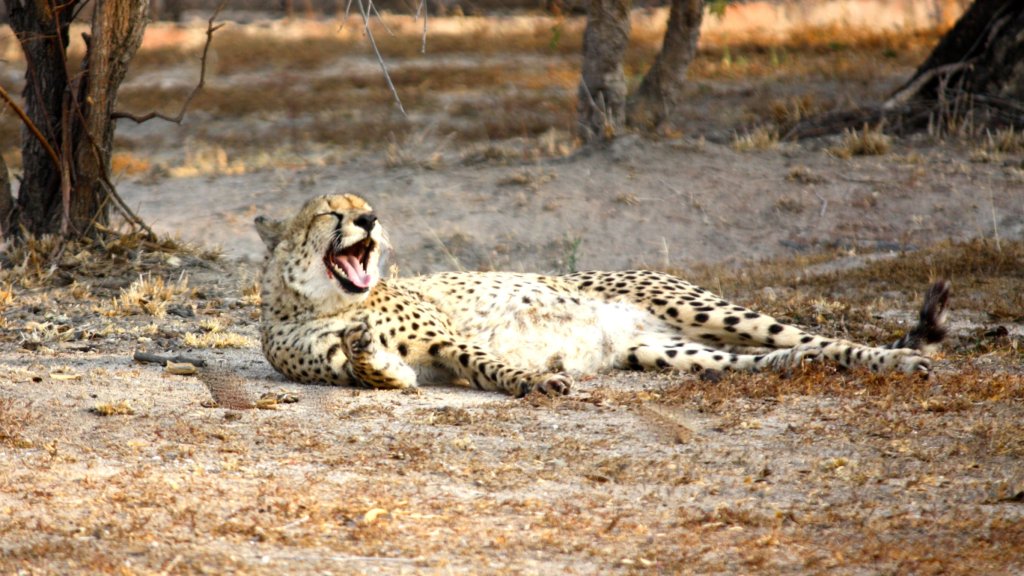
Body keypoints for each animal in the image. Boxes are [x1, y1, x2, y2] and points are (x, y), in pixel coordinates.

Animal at [256, 194, 950, 397]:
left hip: (700, 307)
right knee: (760, 359)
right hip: (667, 352)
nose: (370, 220)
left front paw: (536, 382)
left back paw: (902, 357)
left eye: (364, 206)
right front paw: (365, 349)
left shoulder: (447, 343)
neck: (323, 303)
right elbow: (379, 370)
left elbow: (489, 364)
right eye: (331, 212)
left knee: (825, 337)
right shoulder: (385, 367)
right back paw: (792, 366)